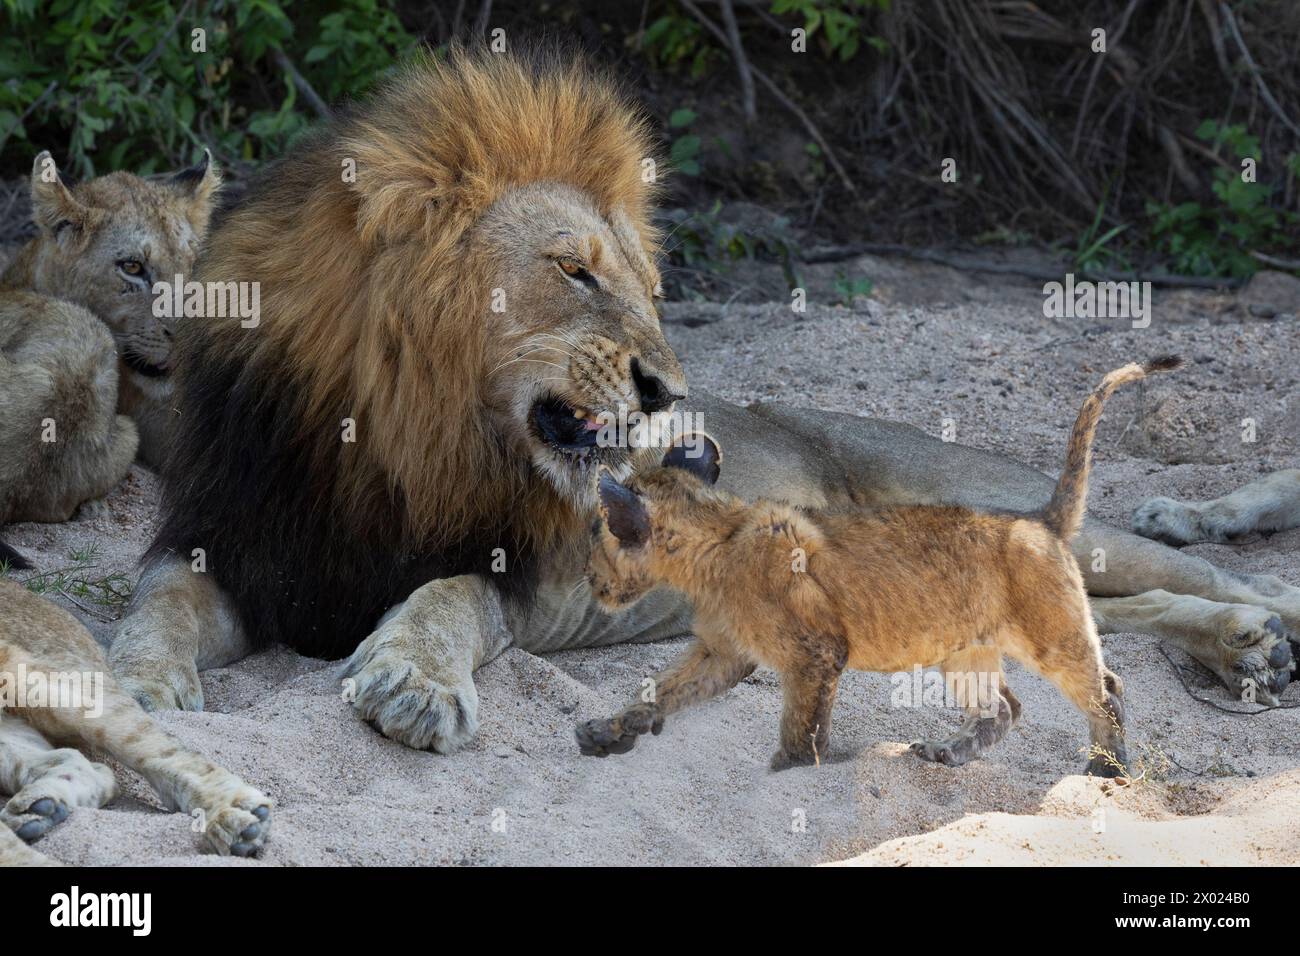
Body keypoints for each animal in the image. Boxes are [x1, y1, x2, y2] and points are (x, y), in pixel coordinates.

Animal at [106, 47, 1296, 760]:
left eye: (645, 286)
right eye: (574, 273)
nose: (676, 401)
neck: (400, 436)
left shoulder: (536, 573)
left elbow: (451, 592)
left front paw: (411, 682)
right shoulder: (233, 538)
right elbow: (156, 605)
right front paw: (138, 687)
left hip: (1010, 514)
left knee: (1197, 572)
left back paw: (1260, 627)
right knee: (1116, 616)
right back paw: (1241, 649)